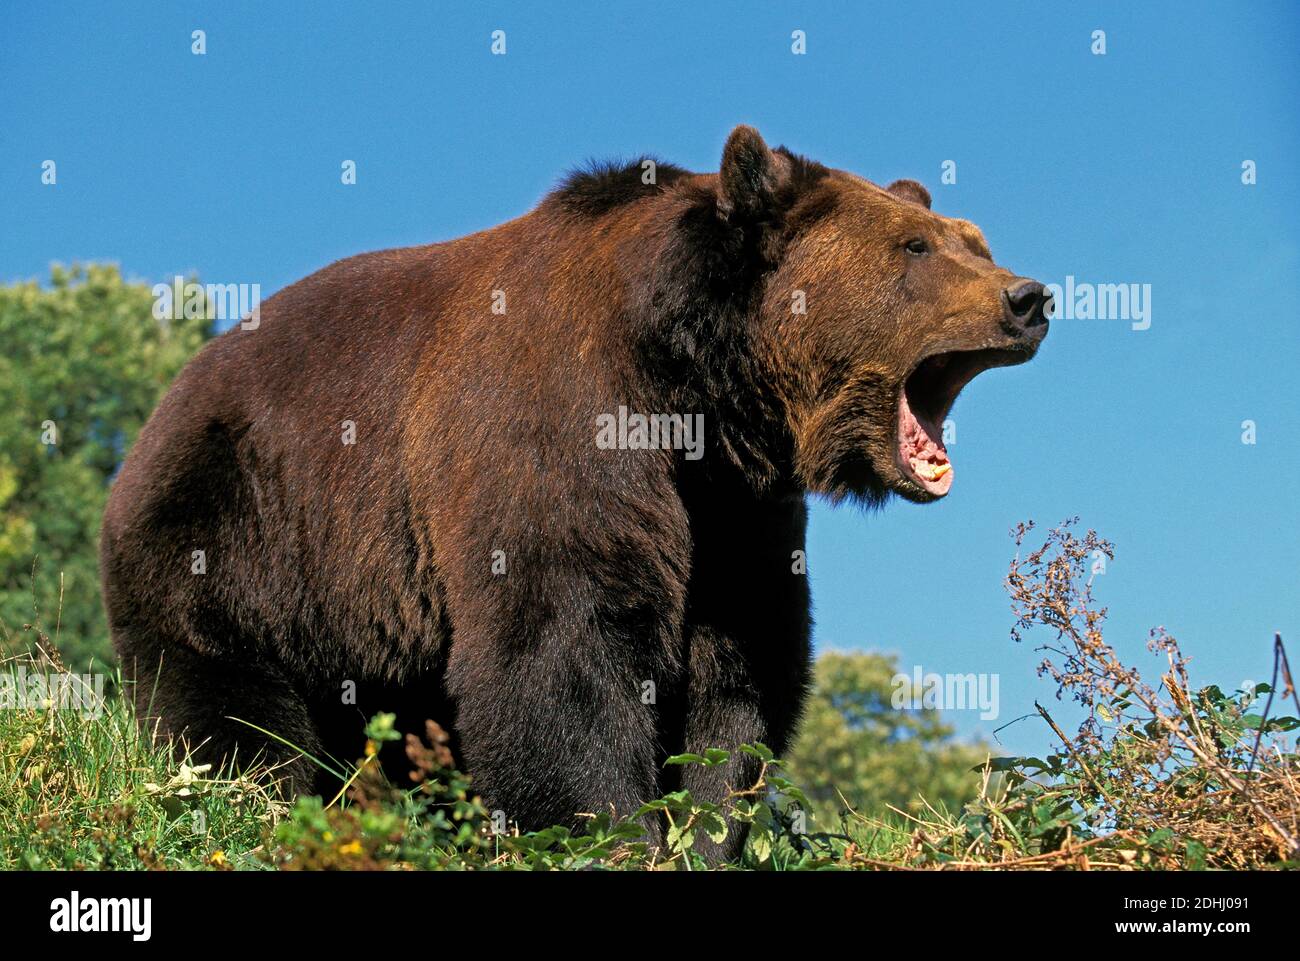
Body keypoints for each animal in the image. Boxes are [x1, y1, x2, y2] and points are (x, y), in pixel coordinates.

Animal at [100, 125, 1049, 861]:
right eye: (914, 247)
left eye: (971, 240)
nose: (1029, 296)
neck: (691, 388)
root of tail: (158, 412)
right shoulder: (563, 428)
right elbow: (562, 646)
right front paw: (613, 830)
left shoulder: (734, 509)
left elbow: (737, 671)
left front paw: (706, 827)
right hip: (238, 538)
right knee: (233, 714)